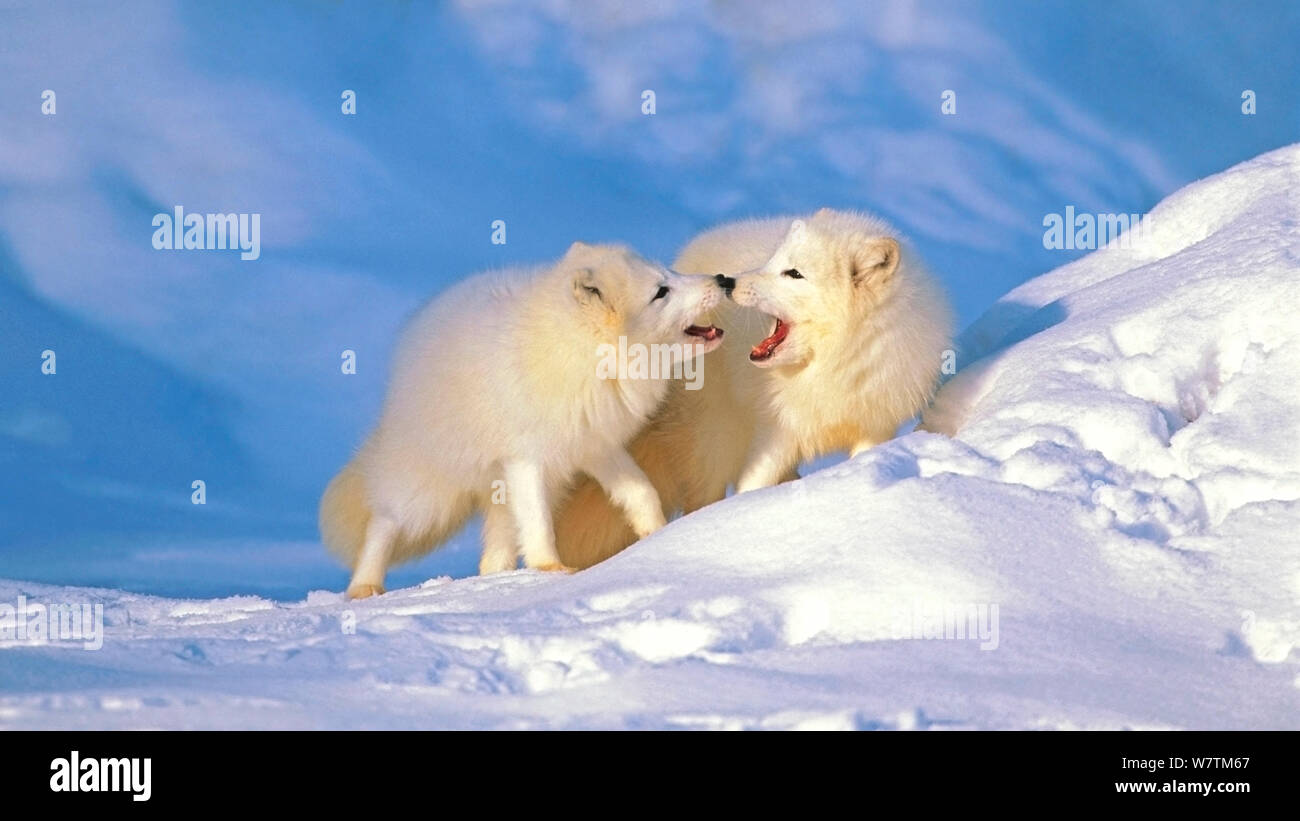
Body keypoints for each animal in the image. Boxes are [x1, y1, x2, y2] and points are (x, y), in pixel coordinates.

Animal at [320, 242, 727, 598]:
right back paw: (364, 586)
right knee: (383, 520)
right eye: (661, 292)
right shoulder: (527, 459)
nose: (722, 279)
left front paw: (658, 537)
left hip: (504, 490)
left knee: (492, 554)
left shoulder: (593, 445)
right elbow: (538, 523)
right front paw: (549, 569)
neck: (580, 355)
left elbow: (642, 492)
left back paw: (494, 580)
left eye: (670, 273)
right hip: (429, 493)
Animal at [553, 209, 953, 569]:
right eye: (772, 259)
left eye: (794, 273)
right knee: (703, 494)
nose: (728, 282)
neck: (829, 366)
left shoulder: (874, 428)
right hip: (715, 438)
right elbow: (752, 484)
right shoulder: (776, 430)